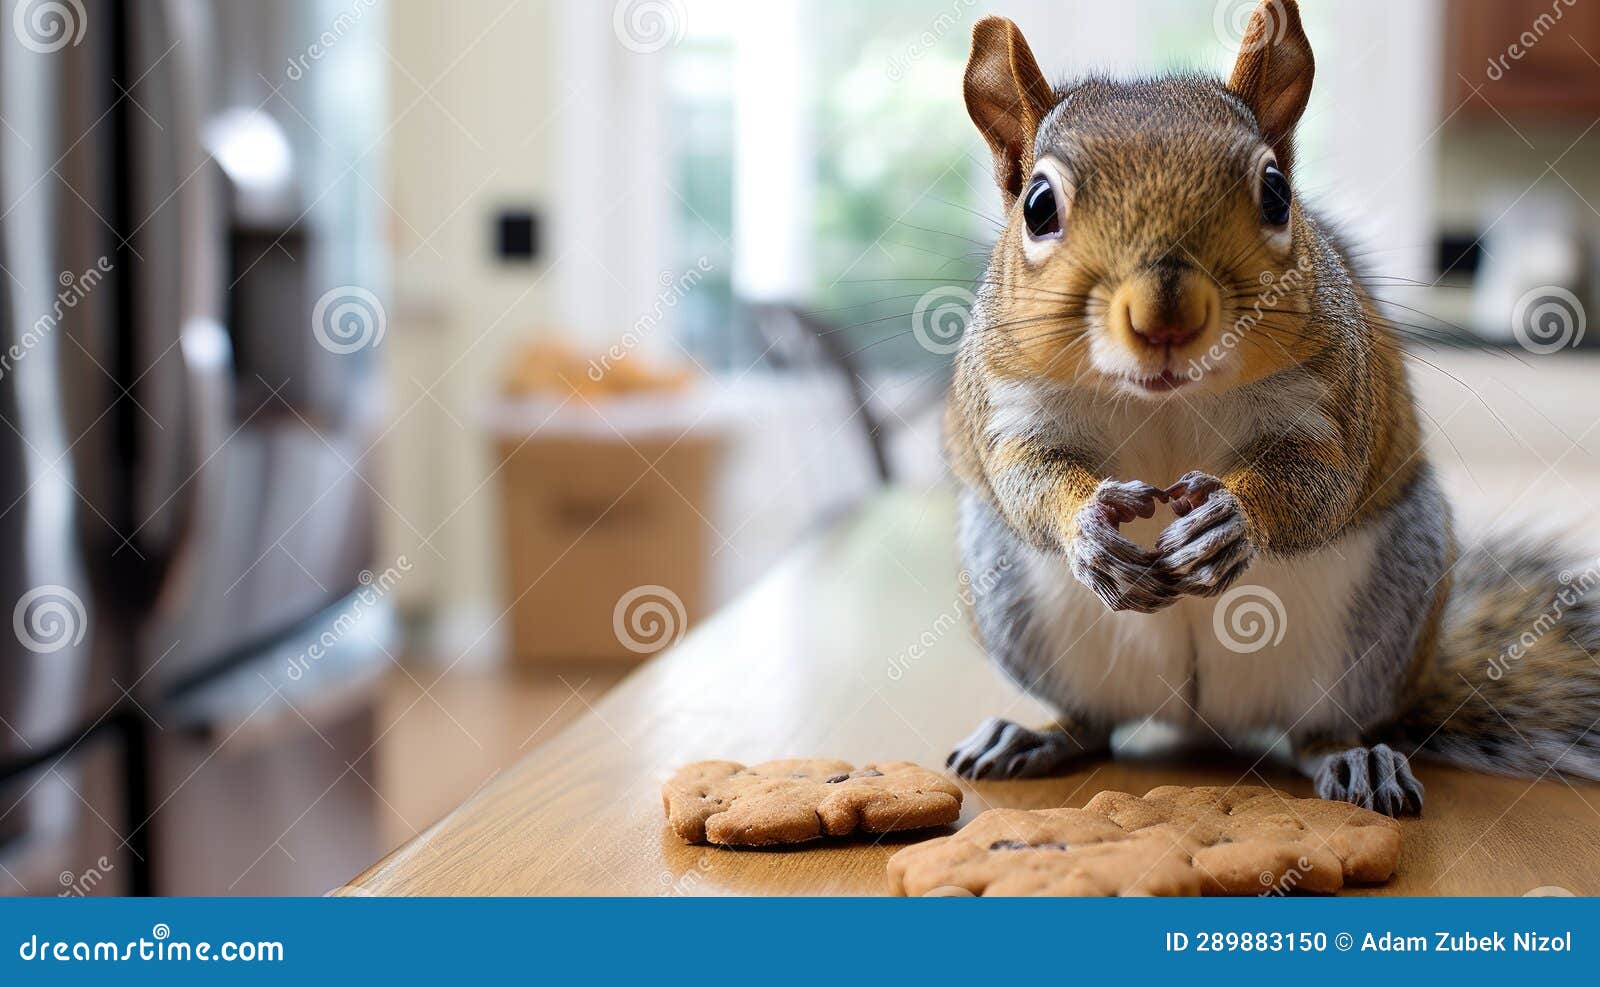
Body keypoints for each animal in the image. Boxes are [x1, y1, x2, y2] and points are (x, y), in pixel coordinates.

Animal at [943, 0, 1600, 817]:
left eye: (1277, 192)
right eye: (1037, 206)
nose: (1166, 317)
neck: (1167, 396)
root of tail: (1200, 718)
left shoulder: (1331, 404)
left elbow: (1321, 482)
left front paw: (1232, 521)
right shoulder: (1011, 404)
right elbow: (1023, 473)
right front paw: (1088, 527)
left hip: (1378, 626)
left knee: (1317, 731)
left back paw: (1356, 759)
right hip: (1018, 605)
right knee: (1096, 724)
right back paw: (1035, 736)